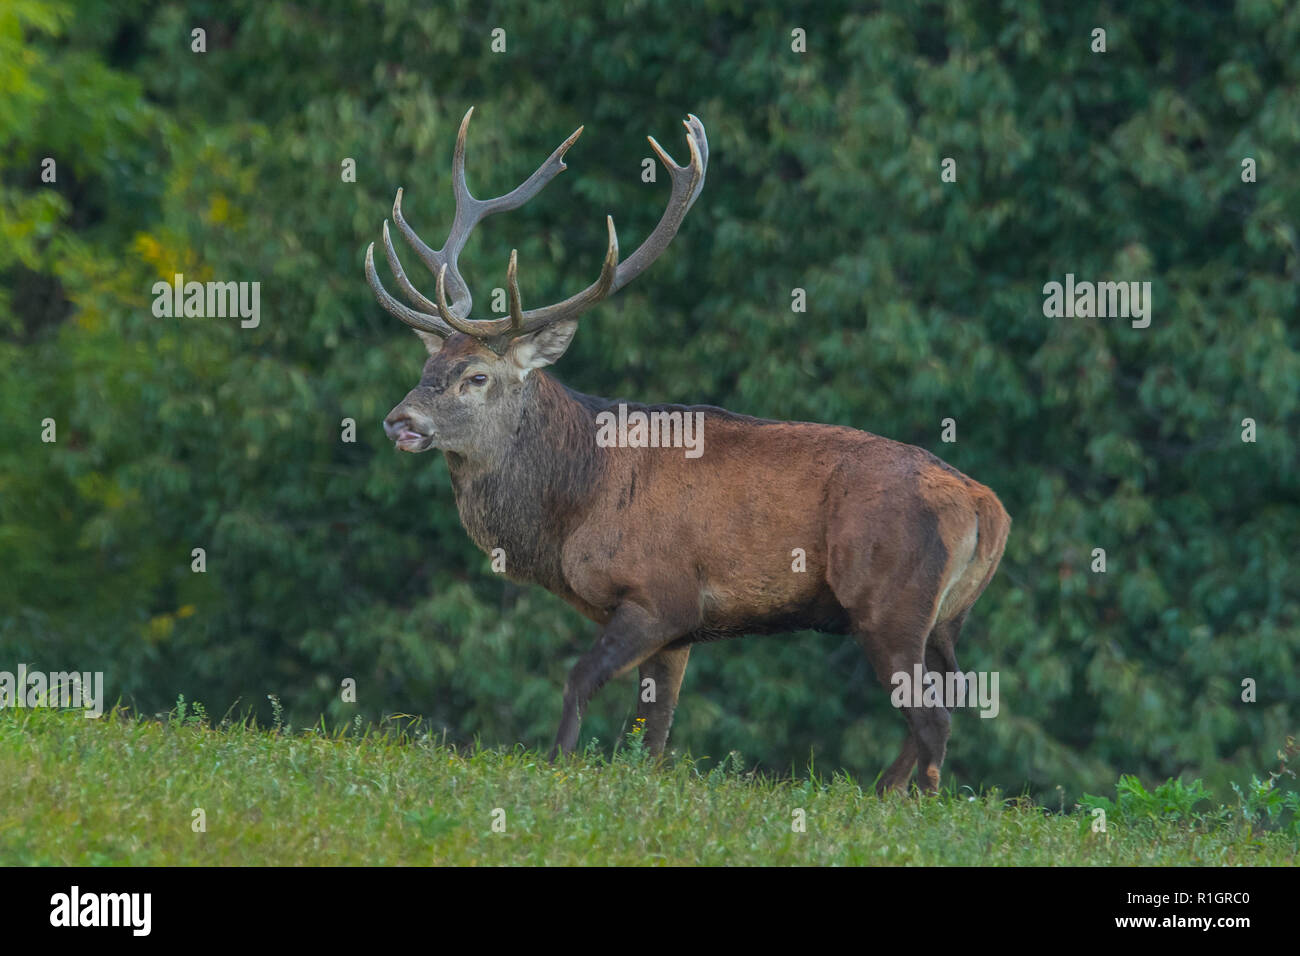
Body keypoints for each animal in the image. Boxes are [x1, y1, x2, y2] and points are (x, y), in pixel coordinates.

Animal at [366, 108, 1010, 794]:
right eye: (427, 366)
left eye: (477, 376)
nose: (400, 420)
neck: (576, 504)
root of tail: (988, 508)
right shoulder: (679, 632)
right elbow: (654, 736)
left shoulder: (660, 592)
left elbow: (579, 682)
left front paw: (557, 767)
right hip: (946, 620)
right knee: (944, 706)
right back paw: (883, 795)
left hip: (889, 602)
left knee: (932, 719)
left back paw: (906, 804)